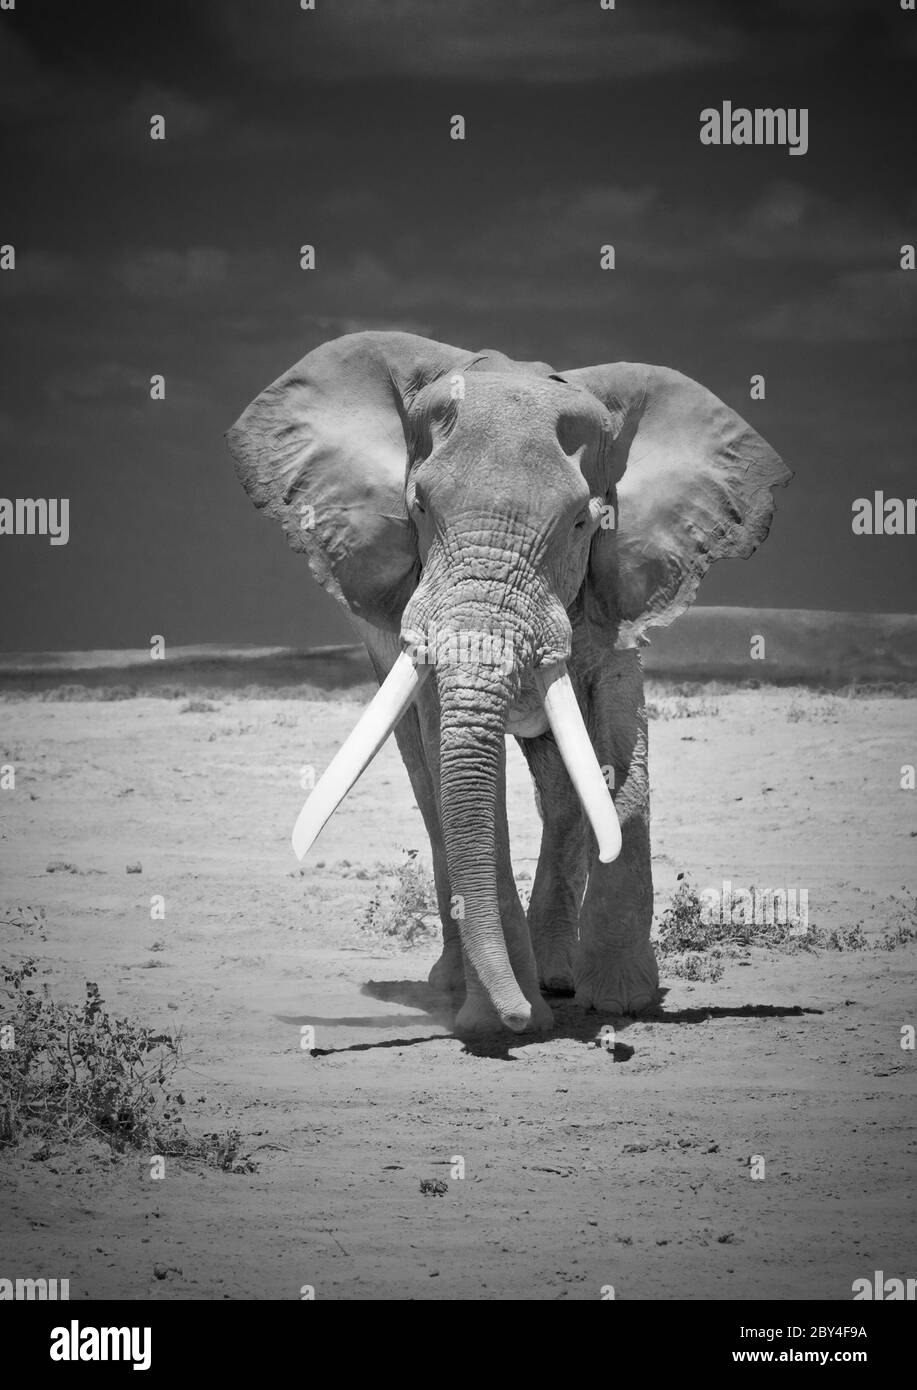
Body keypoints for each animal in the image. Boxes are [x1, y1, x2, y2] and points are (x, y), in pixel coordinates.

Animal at [227, 331, 790, 1035]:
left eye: (582, 523)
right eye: (418, 507)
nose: (520, 1020)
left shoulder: (616, 586)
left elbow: (617, 742)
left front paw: (621, 1003)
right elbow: (456, 758)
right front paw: (499, 1022)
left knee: (561, 785)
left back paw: (556, 980)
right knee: (430, 783)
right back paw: (464, 984)